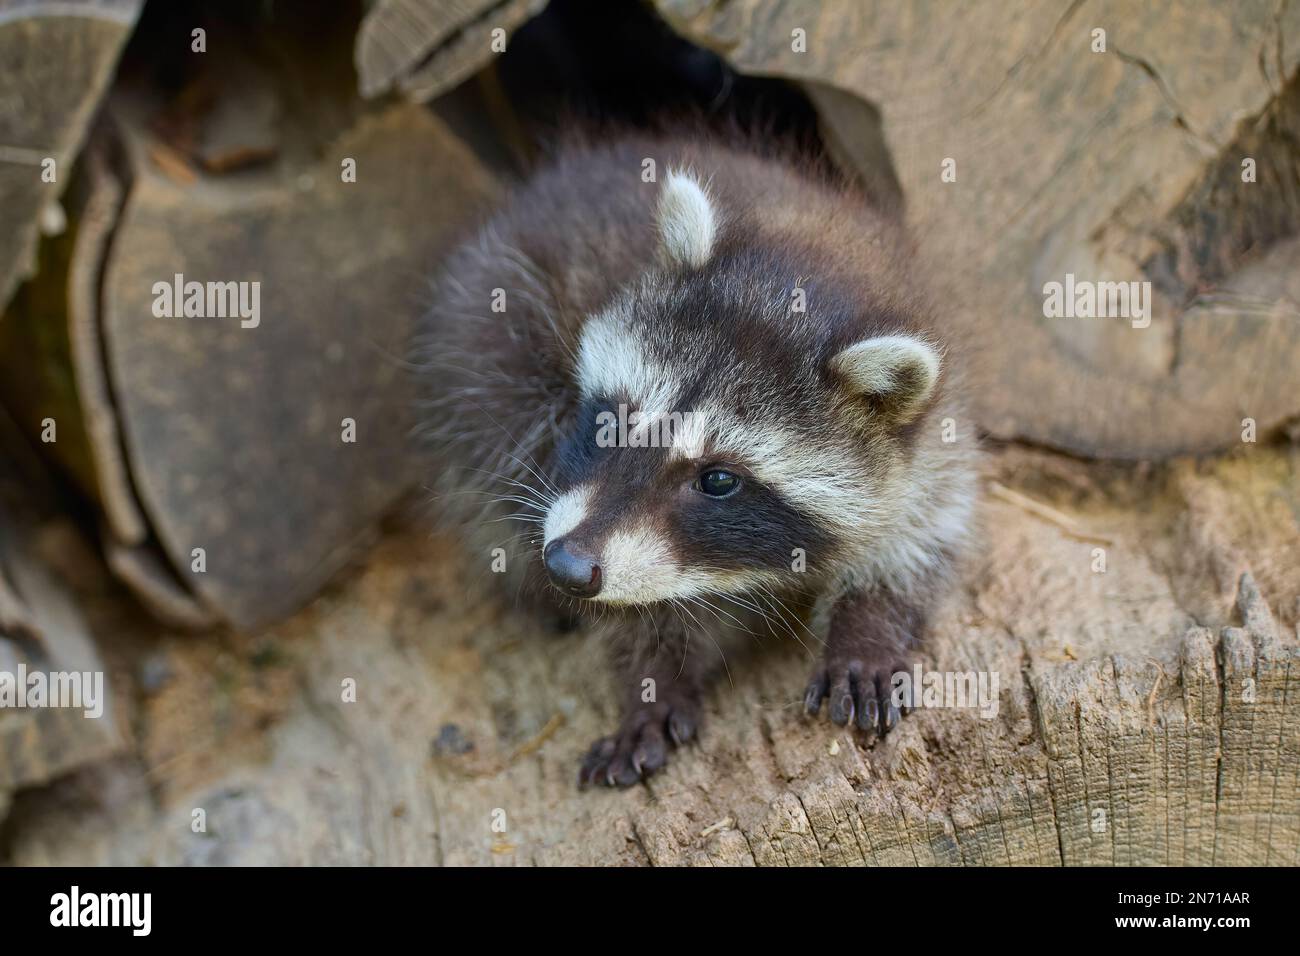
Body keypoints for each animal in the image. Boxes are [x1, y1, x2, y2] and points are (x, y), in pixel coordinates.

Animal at [415, 132, 978, 788]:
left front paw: (870, 627)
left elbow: (925, 536)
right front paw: (653, 677)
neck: (819, 250)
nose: (567, 567)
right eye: (613, 422)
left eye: (718, 480)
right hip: (486, 328)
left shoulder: (933, 440)